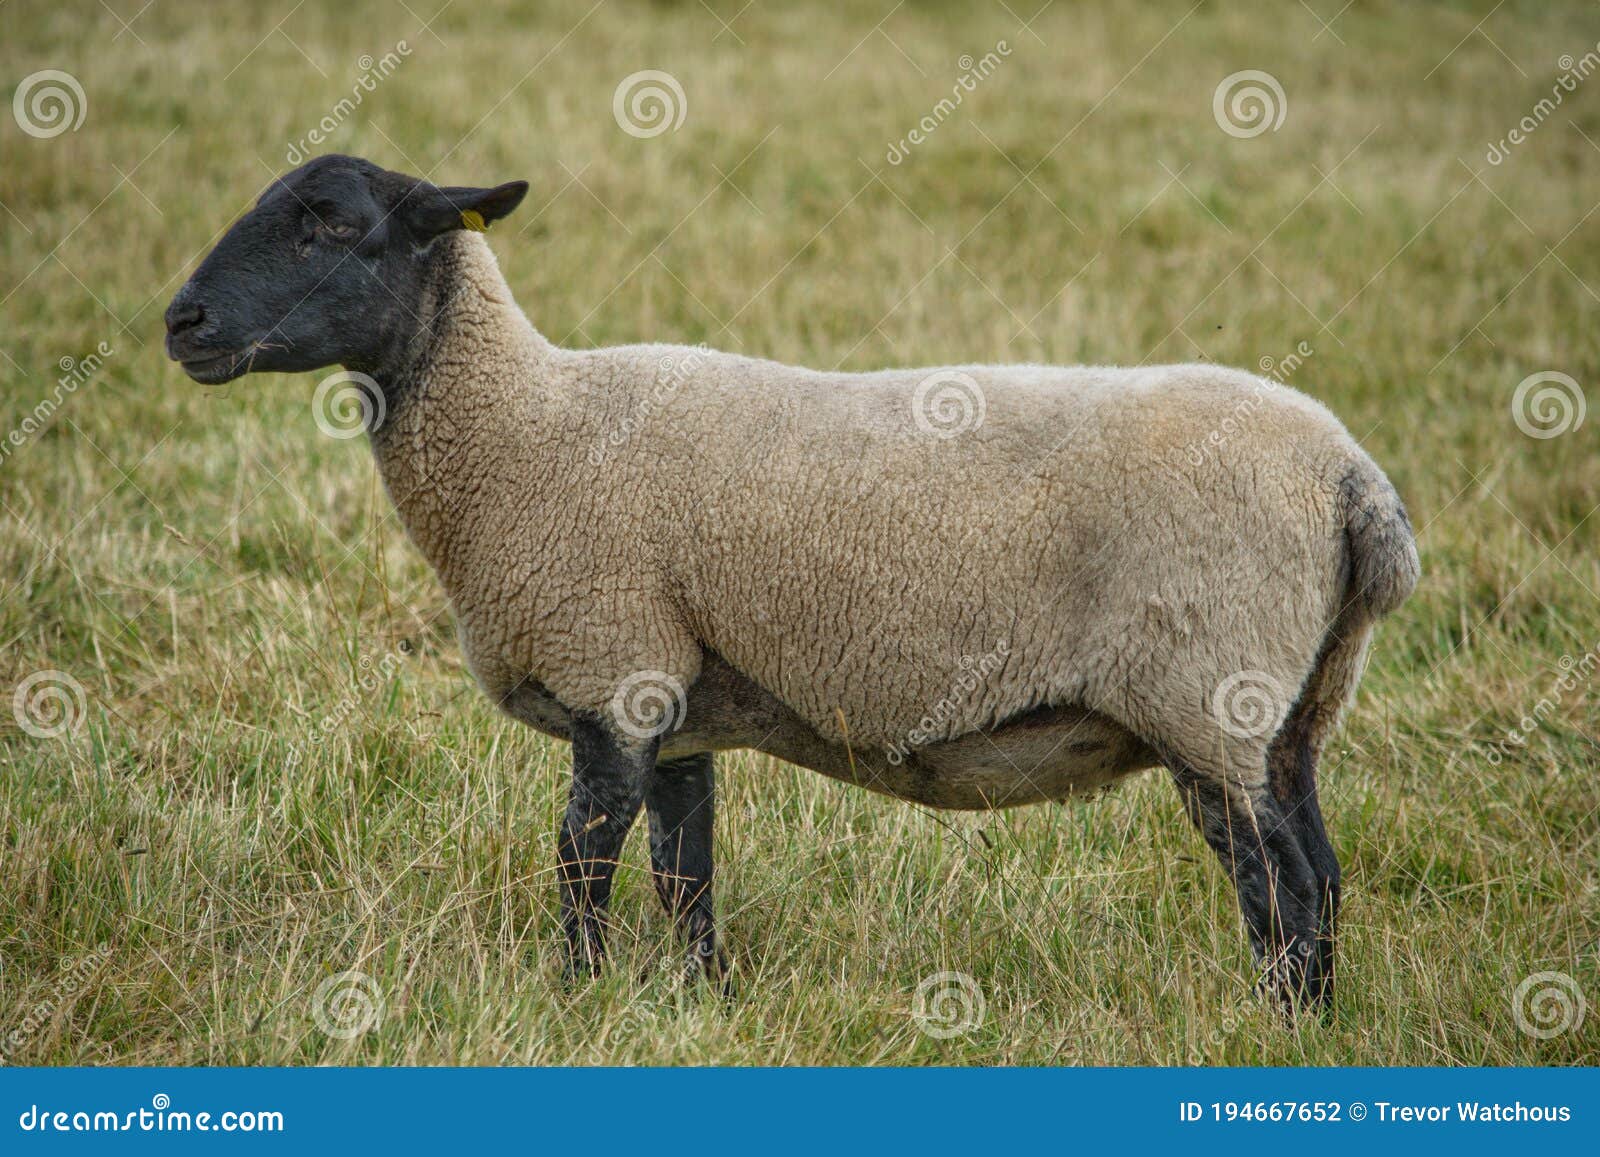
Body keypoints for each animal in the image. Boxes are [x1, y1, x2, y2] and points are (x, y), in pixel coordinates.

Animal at [164, 155, 1420, 1011]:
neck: (526, 425)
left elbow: (581, 861)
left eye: (333, 224)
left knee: (1279, 884)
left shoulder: (610, 667)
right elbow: (685, 876)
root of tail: (1352, 482)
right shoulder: (673, 699)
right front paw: (700, 1002)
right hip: (1295, 704)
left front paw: (572, 998)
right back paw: (1313, 1024)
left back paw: (1271, 1025)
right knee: (1321, 871)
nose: (180, 321)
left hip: (1205, 692)